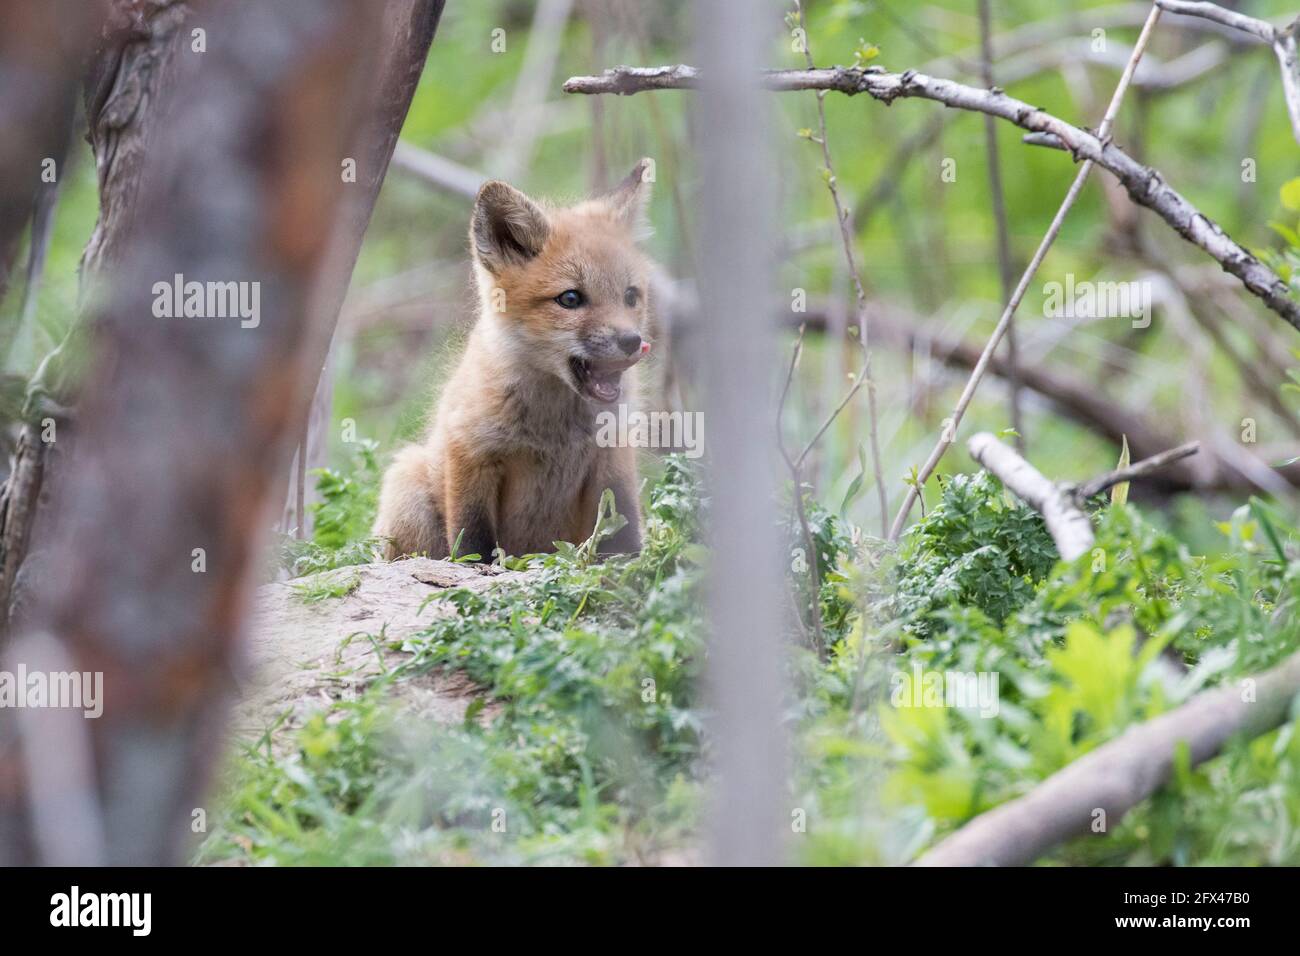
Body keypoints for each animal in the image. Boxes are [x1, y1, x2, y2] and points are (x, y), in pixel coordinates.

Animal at [372, 159, 657, 562]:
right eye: (571, 299)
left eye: (631, 296)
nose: (632, 341)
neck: (554, 429)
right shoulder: (470, 450)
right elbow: (473, 539)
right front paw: (478, 566)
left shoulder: (613, 452)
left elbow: (625, 526)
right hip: (407, 482)